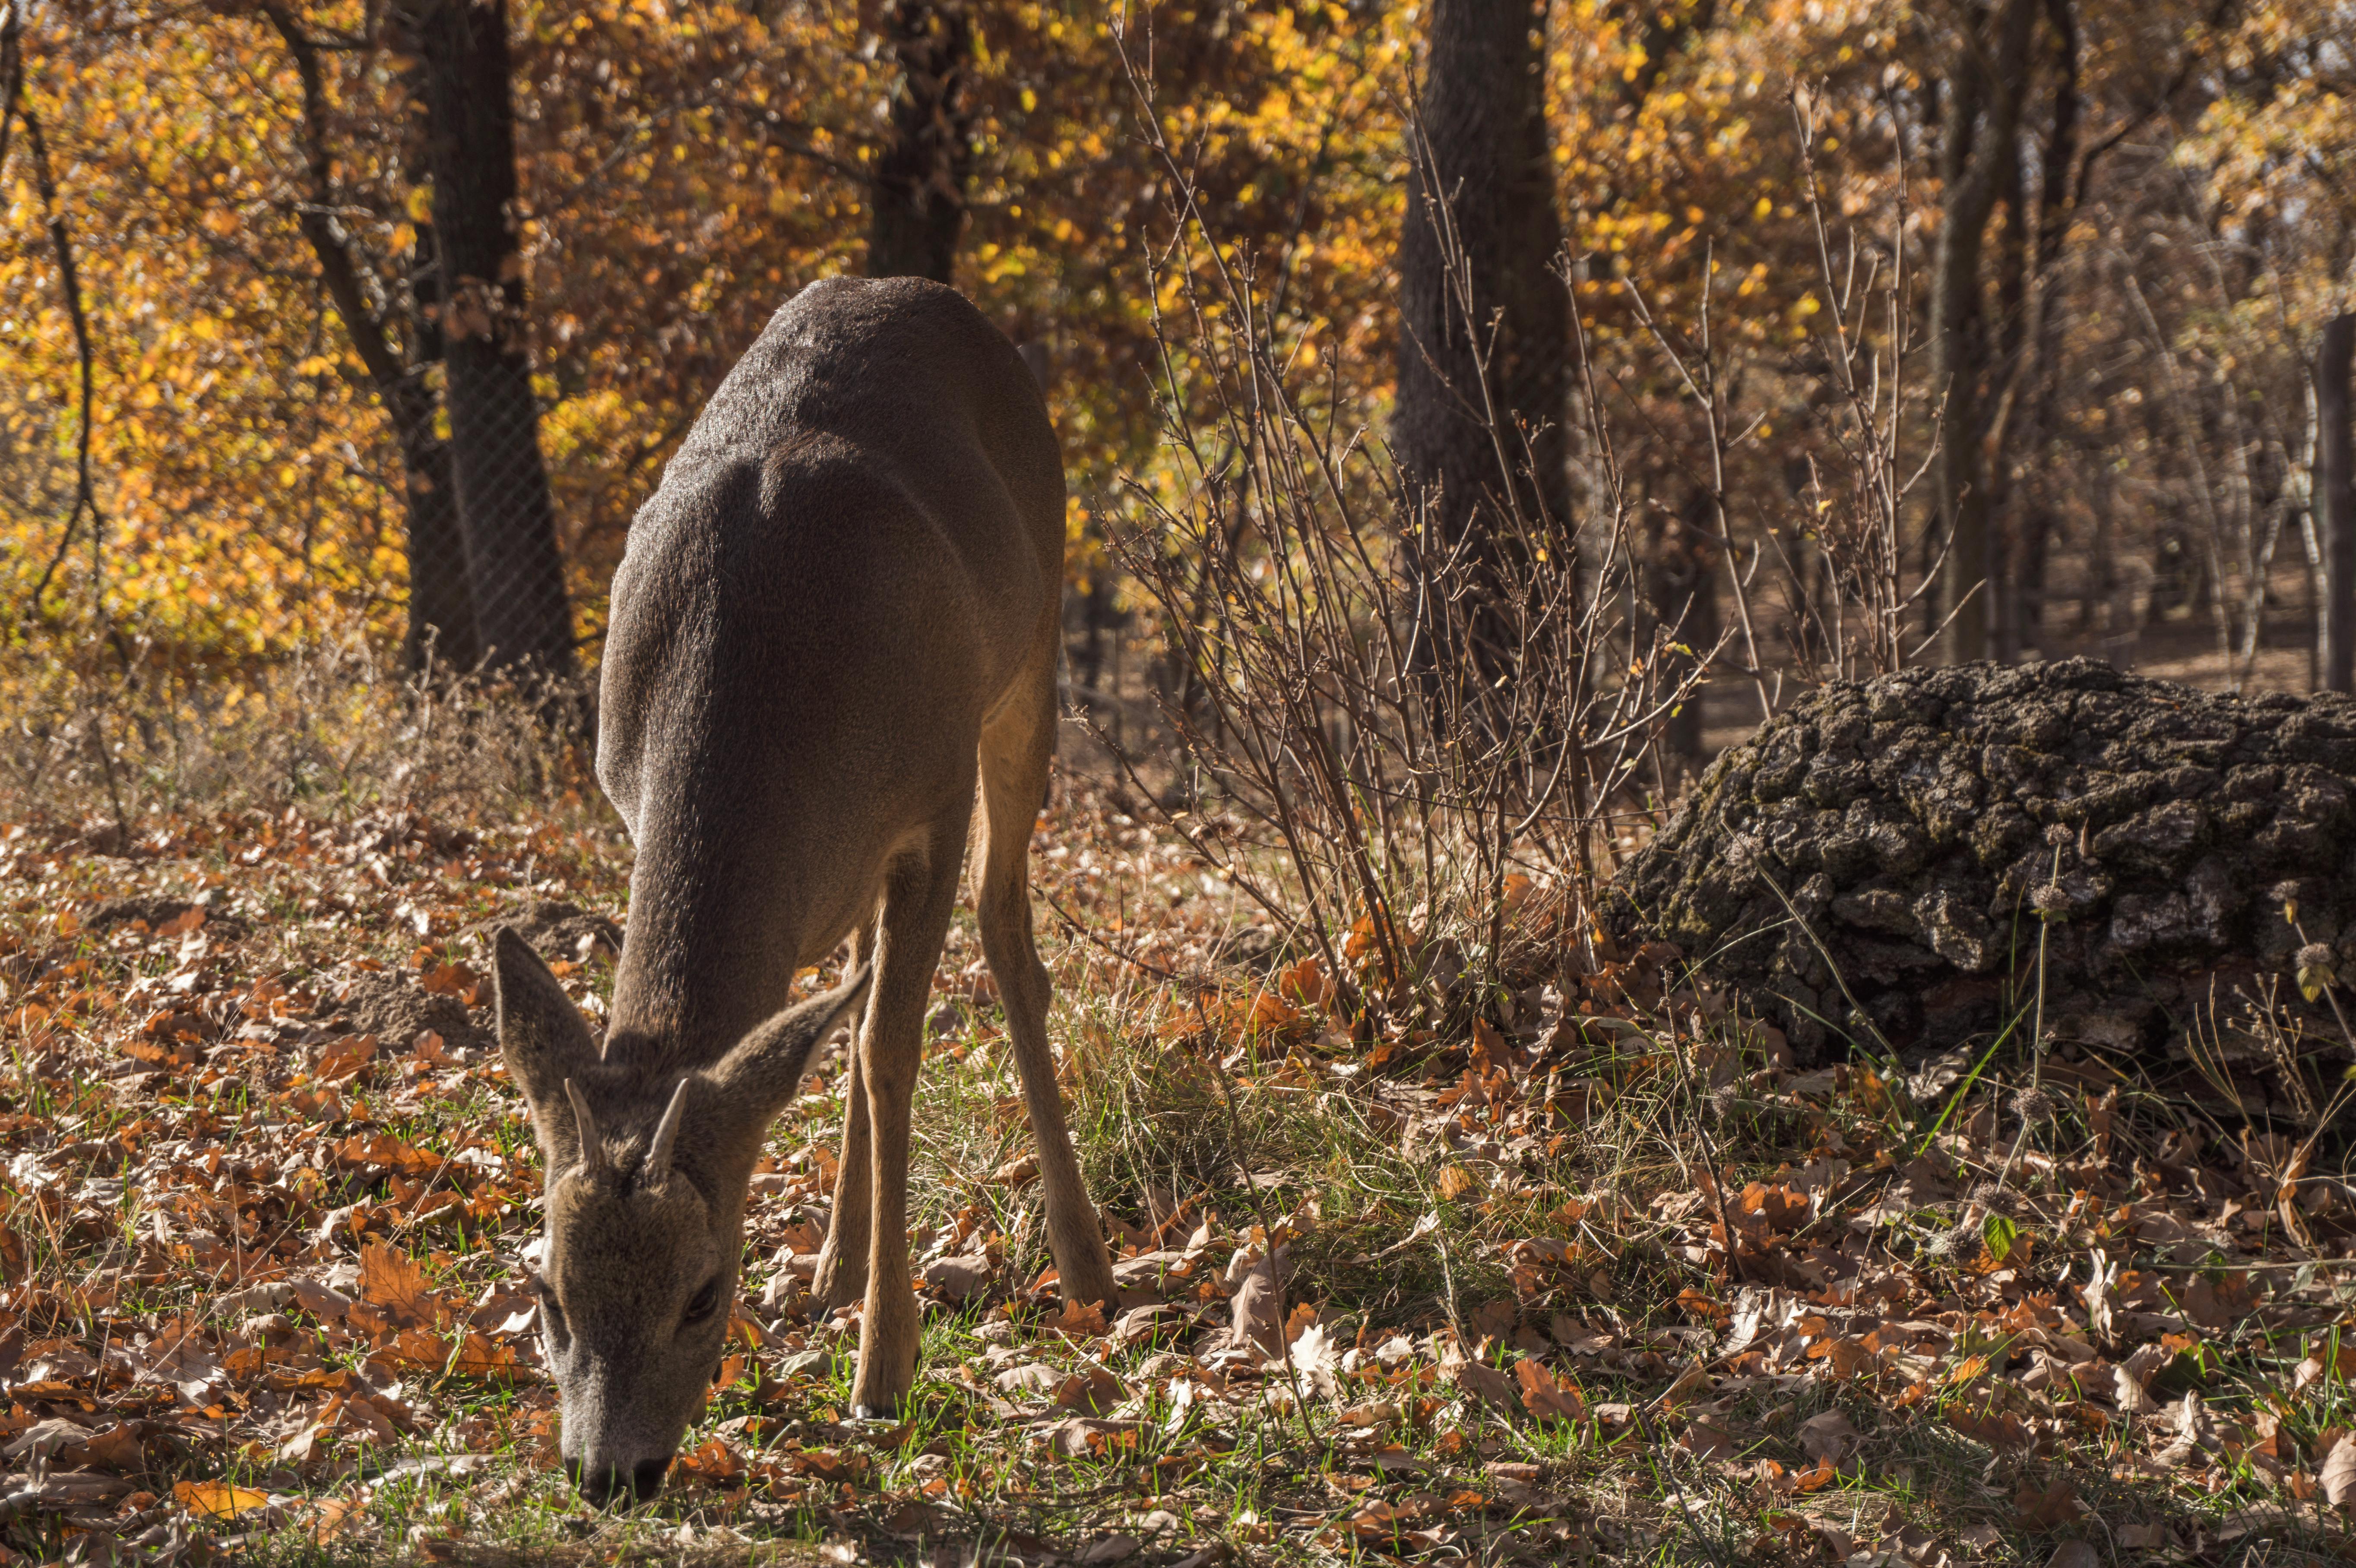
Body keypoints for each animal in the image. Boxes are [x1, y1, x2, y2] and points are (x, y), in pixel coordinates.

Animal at [489, 276, 1120, 1506]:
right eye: (547, 1293)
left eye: (706, 1291)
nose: (608, 1472)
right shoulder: (632, 798)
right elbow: (833, 1033)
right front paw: (853, 1294)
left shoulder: (933, 796)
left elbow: (886, 1050)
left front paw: (885, 1367)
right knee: (851, 975)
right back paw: (833, 1260)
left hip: (1028, 665)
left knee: (1007, 934)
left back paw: (1082, 1257)